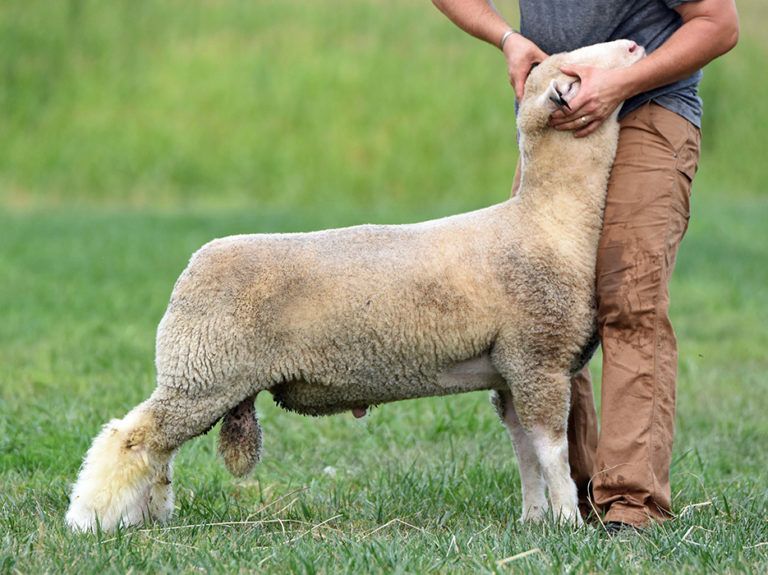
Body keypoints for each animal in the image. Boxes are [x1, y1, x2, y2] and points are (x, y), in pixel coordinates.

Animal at [65, 39, 645, 533]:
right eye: (577, 68)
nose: (636, 46)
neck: (547, 220)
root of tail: (194, 265)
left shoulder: (509, 370)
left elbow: (524, 451)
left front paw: (533, 519)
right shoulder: (538, 357)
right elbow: (553, 453)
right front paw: (567, 523)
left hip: (202, 376)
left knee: (157, 451)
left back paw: (146, 516)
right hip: (204, 373)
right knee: (131, 438)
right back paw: (88, 521)